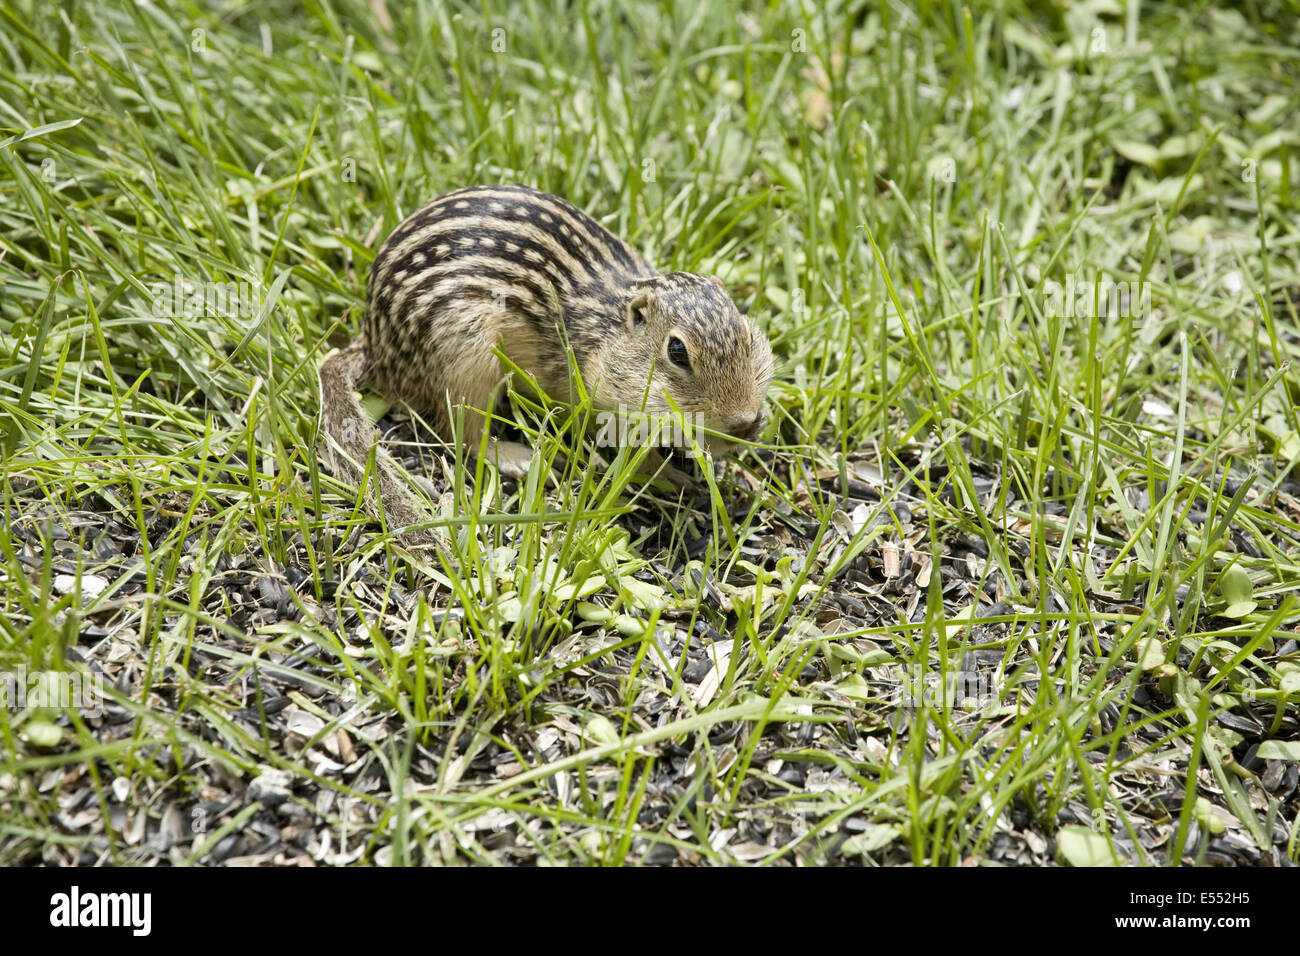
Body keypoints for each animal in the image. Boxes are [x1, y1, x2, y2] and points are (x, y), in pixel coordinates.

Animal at [317, 184, 774, 539]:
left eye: (746, 331)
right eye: (677, 352)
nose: (744, 421)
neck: (606, 327)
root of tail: (375, 346)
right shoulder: (601, 403)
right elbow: (631, 457)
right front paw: (674, 477)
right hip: (465, 358)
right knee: (462, 432)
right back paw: (518, 457)